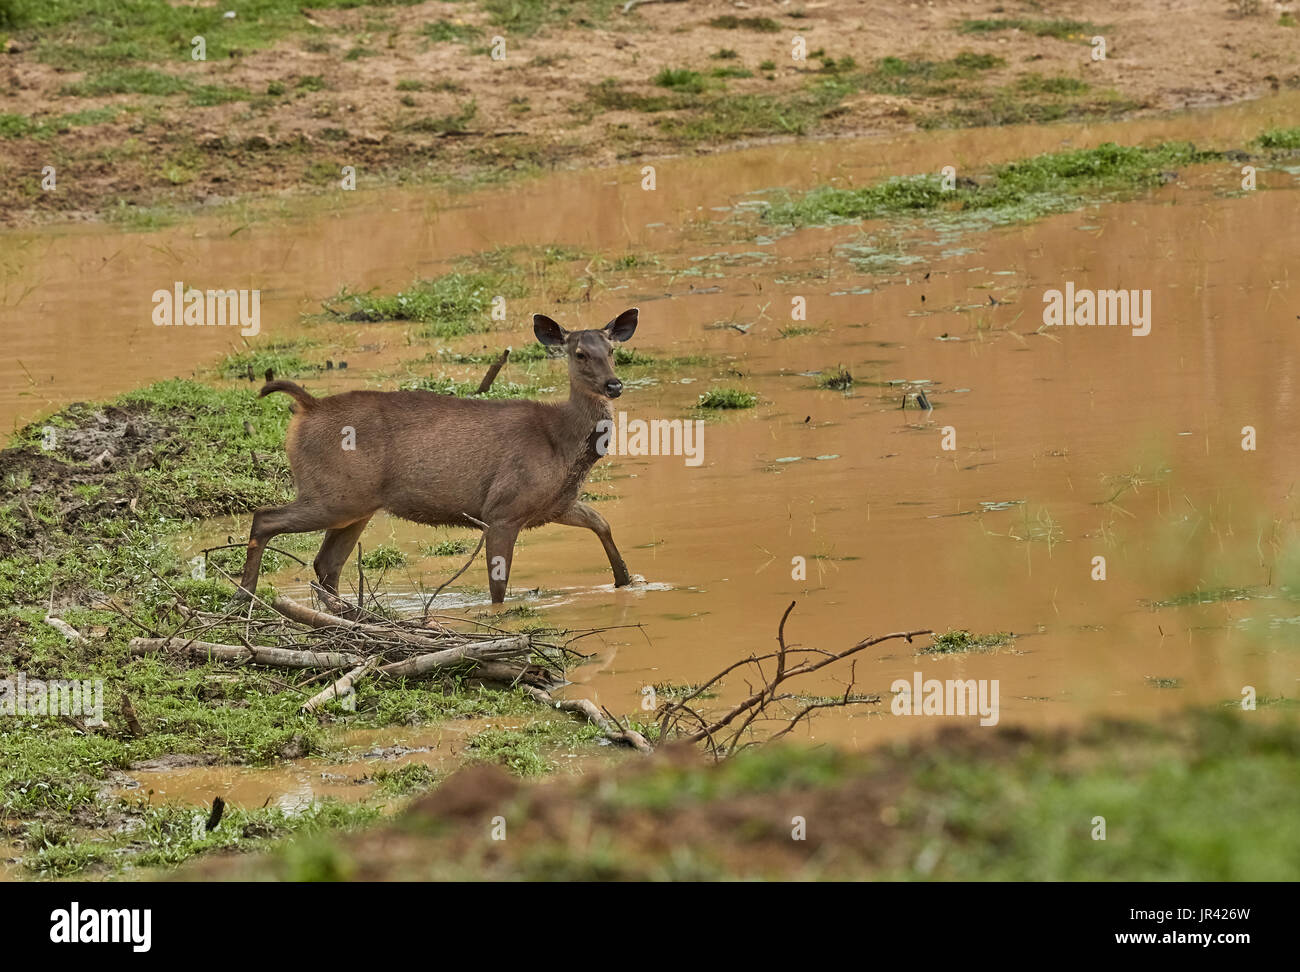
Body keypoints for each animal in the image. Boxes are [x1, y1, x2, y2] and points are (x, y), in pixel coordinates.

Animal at [235, 308, 639, 605]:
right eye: (580, 353)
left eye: (612, 350)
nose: (613, 385)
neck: (561, 442)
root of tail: (308, 406)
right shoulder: (502, 508)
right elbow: (498, 588)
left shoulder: (555, 504)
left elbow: (602, 522)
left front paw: (626, 580)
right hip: (332, 493)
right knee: (266, 517)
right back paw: (244, 596)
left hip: (355, 503)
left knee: (326, 564)